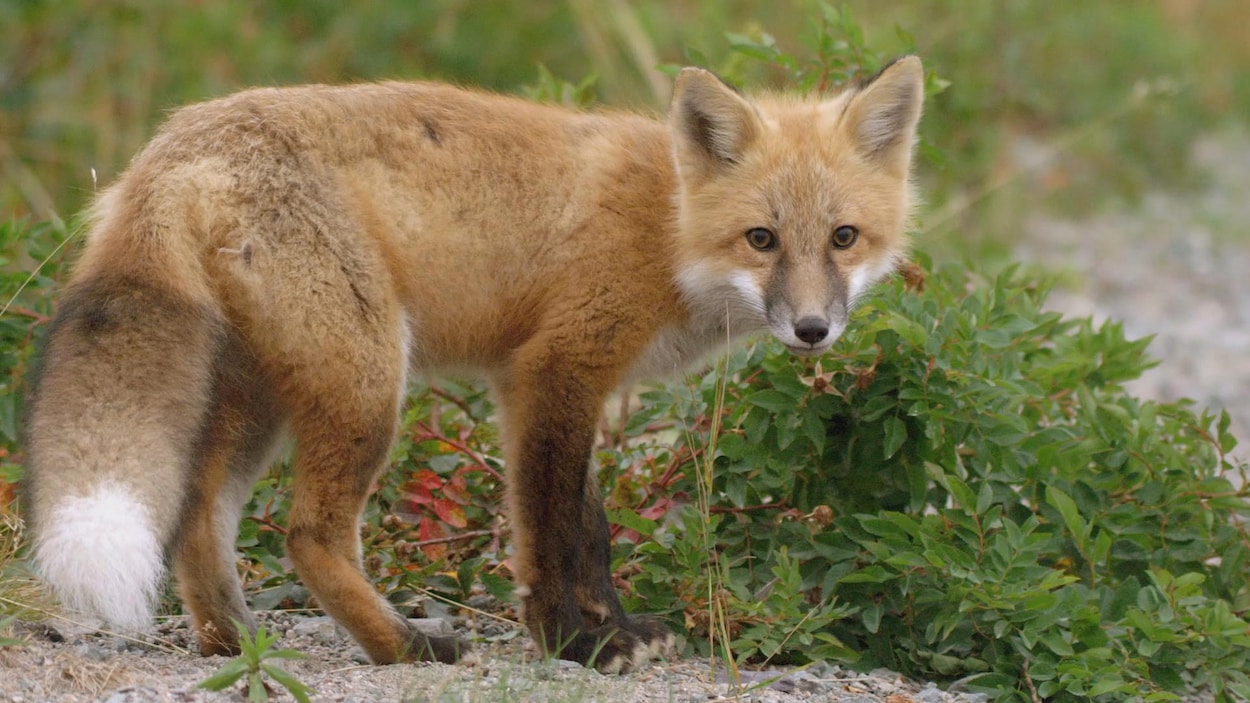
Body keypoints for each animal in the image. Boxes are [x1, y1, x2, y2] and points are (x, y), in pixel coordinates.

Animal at [24, 57, 923, 673]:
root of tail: (172, 147)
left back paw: (237, 644)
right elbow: (553, 530)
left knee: (200, 515)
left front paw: (614, 627)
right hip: (367, 384)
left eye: (843, 237)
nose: (812, 330)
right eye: (761, 239)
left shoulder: (555, 388)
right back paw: (402, 646)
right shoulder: (553, 369)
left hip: (267, 391)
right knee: (309, 534)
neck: (667, 230)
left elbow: (592, 529)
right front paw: (576, 643)